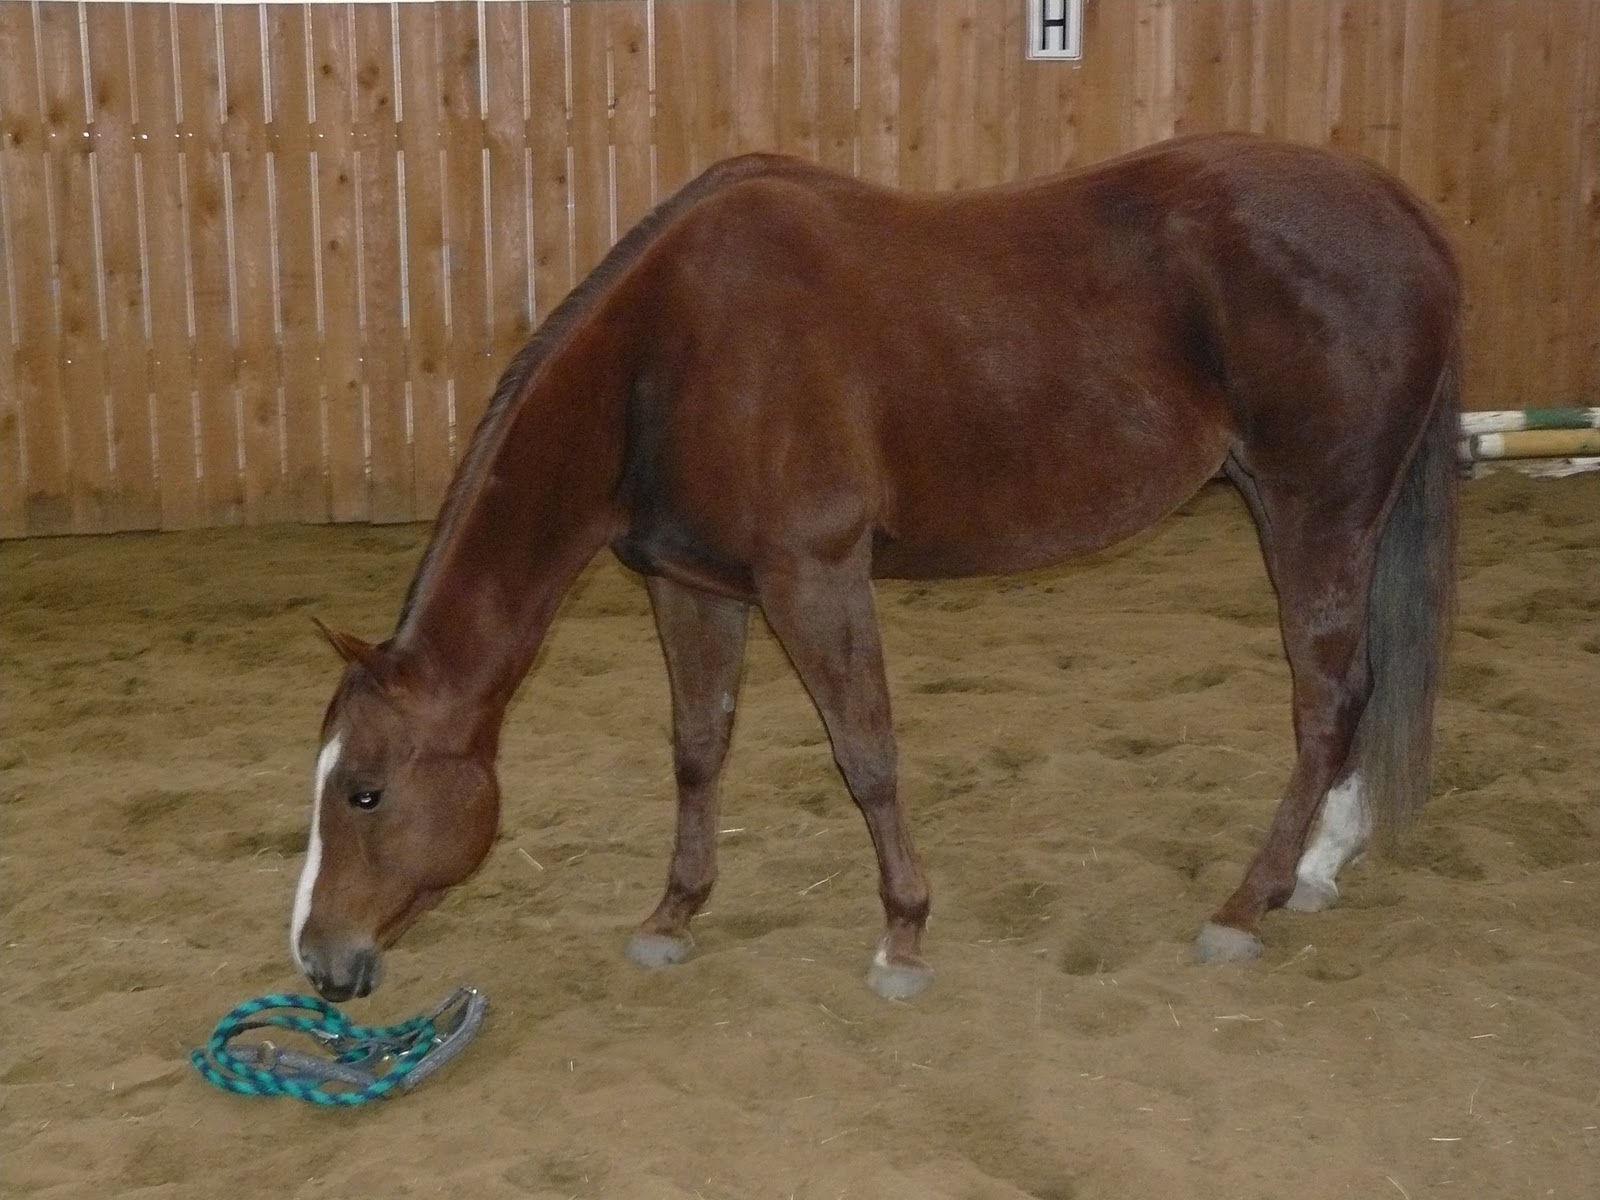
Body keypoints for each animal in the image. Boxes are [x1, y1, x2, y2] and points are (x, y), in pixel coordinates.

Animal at [289, 133, 1459, 1004]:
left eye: (363, 791)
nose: (319, 960)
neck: (669, 353)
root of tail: (1399, 207)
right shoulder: (692, 586)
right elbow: (698, 750)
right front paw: (673, 914)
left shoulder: (815, 577)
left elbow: (867, 754)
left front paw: (903, 934)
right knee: (1354, 689)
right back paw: (1317, 868)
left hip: (1314, 512)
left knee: (1324, 702)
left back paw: (1245, 904)